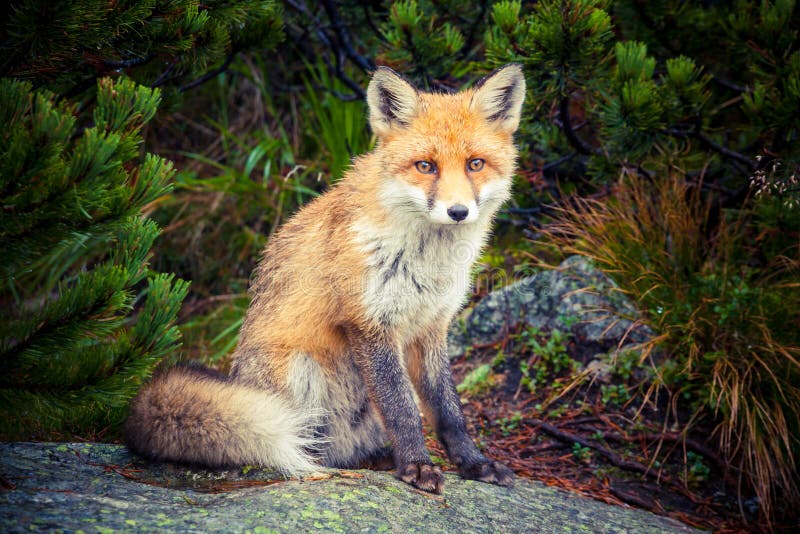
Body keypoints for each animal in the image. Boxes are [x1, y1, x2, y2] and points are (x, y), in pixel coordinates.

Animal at [124, 64, 526, 494]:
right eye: (426, 166)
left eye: (475, 164)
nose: (458, 211)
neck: (427, 262)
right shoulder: (370, 323)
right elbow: (401, 409)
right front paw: (417, 466)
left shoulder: (432, 326)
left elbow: (448, 410)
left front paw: (474, 463)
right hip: (298, 370)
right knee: (307, 440)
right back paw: (320, 464)